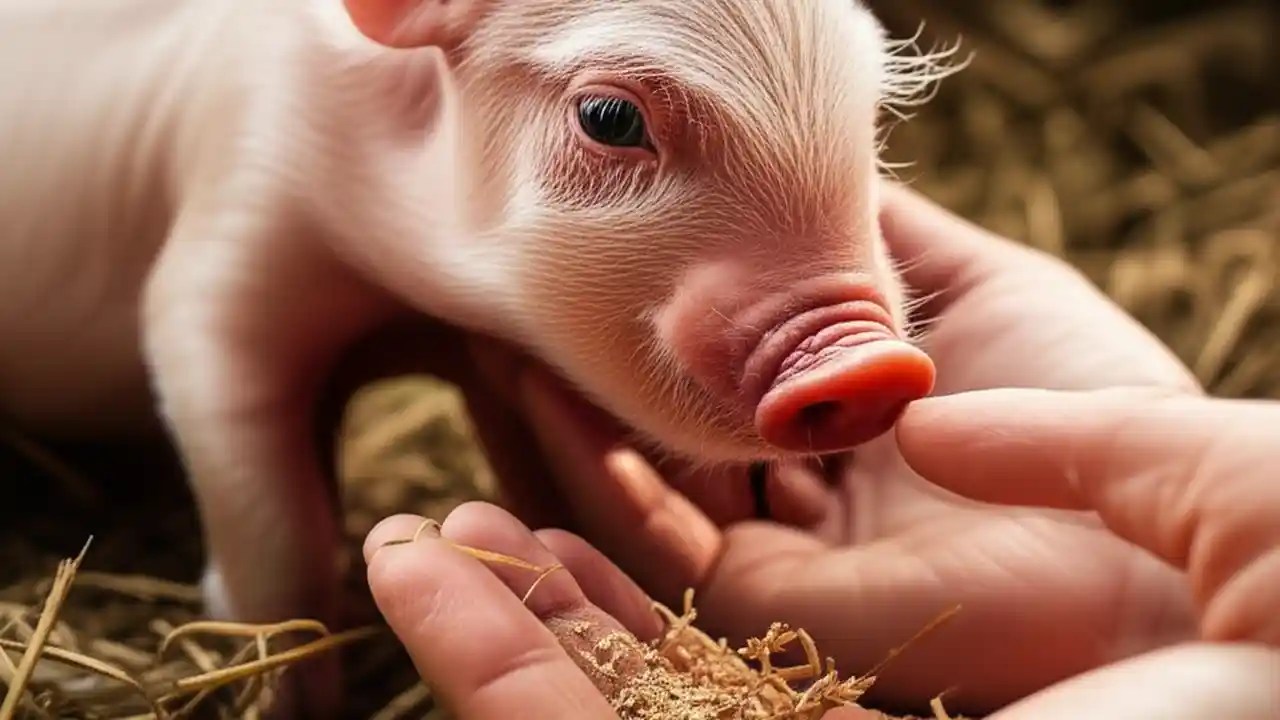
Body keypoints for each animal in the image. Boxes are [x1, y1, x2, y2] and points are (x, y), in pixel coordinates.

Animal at [0, 0, 952, 713]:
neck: (410, 312)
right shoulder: (228, 231)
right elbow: (278, 535)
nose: (874, 367)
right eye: (610, 117)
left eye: (869, 116)